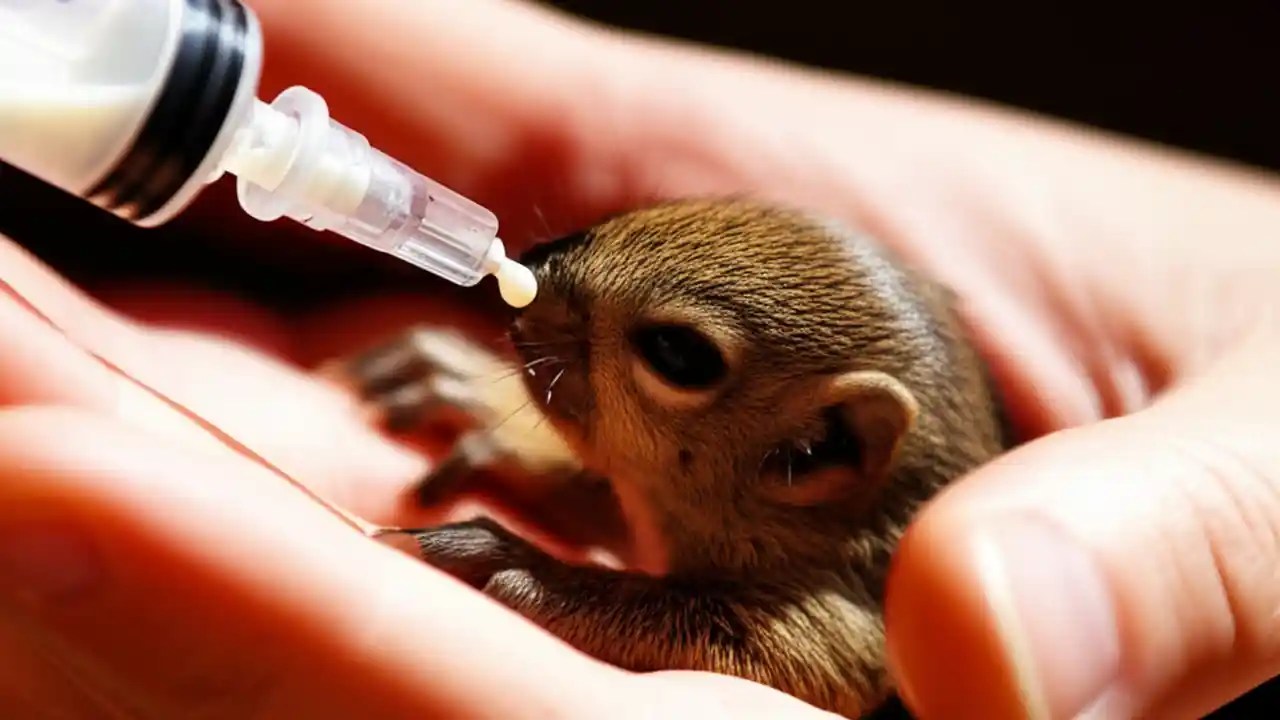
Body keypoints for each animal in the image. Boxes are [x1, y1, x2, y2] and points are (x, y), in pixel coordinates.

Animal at [323, 198, 1012, 718]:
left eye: (679, 354)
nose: (534, 264)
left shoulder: (844, 614)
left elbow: (791, 656)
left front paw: (528, 564)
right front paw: (491, 410)